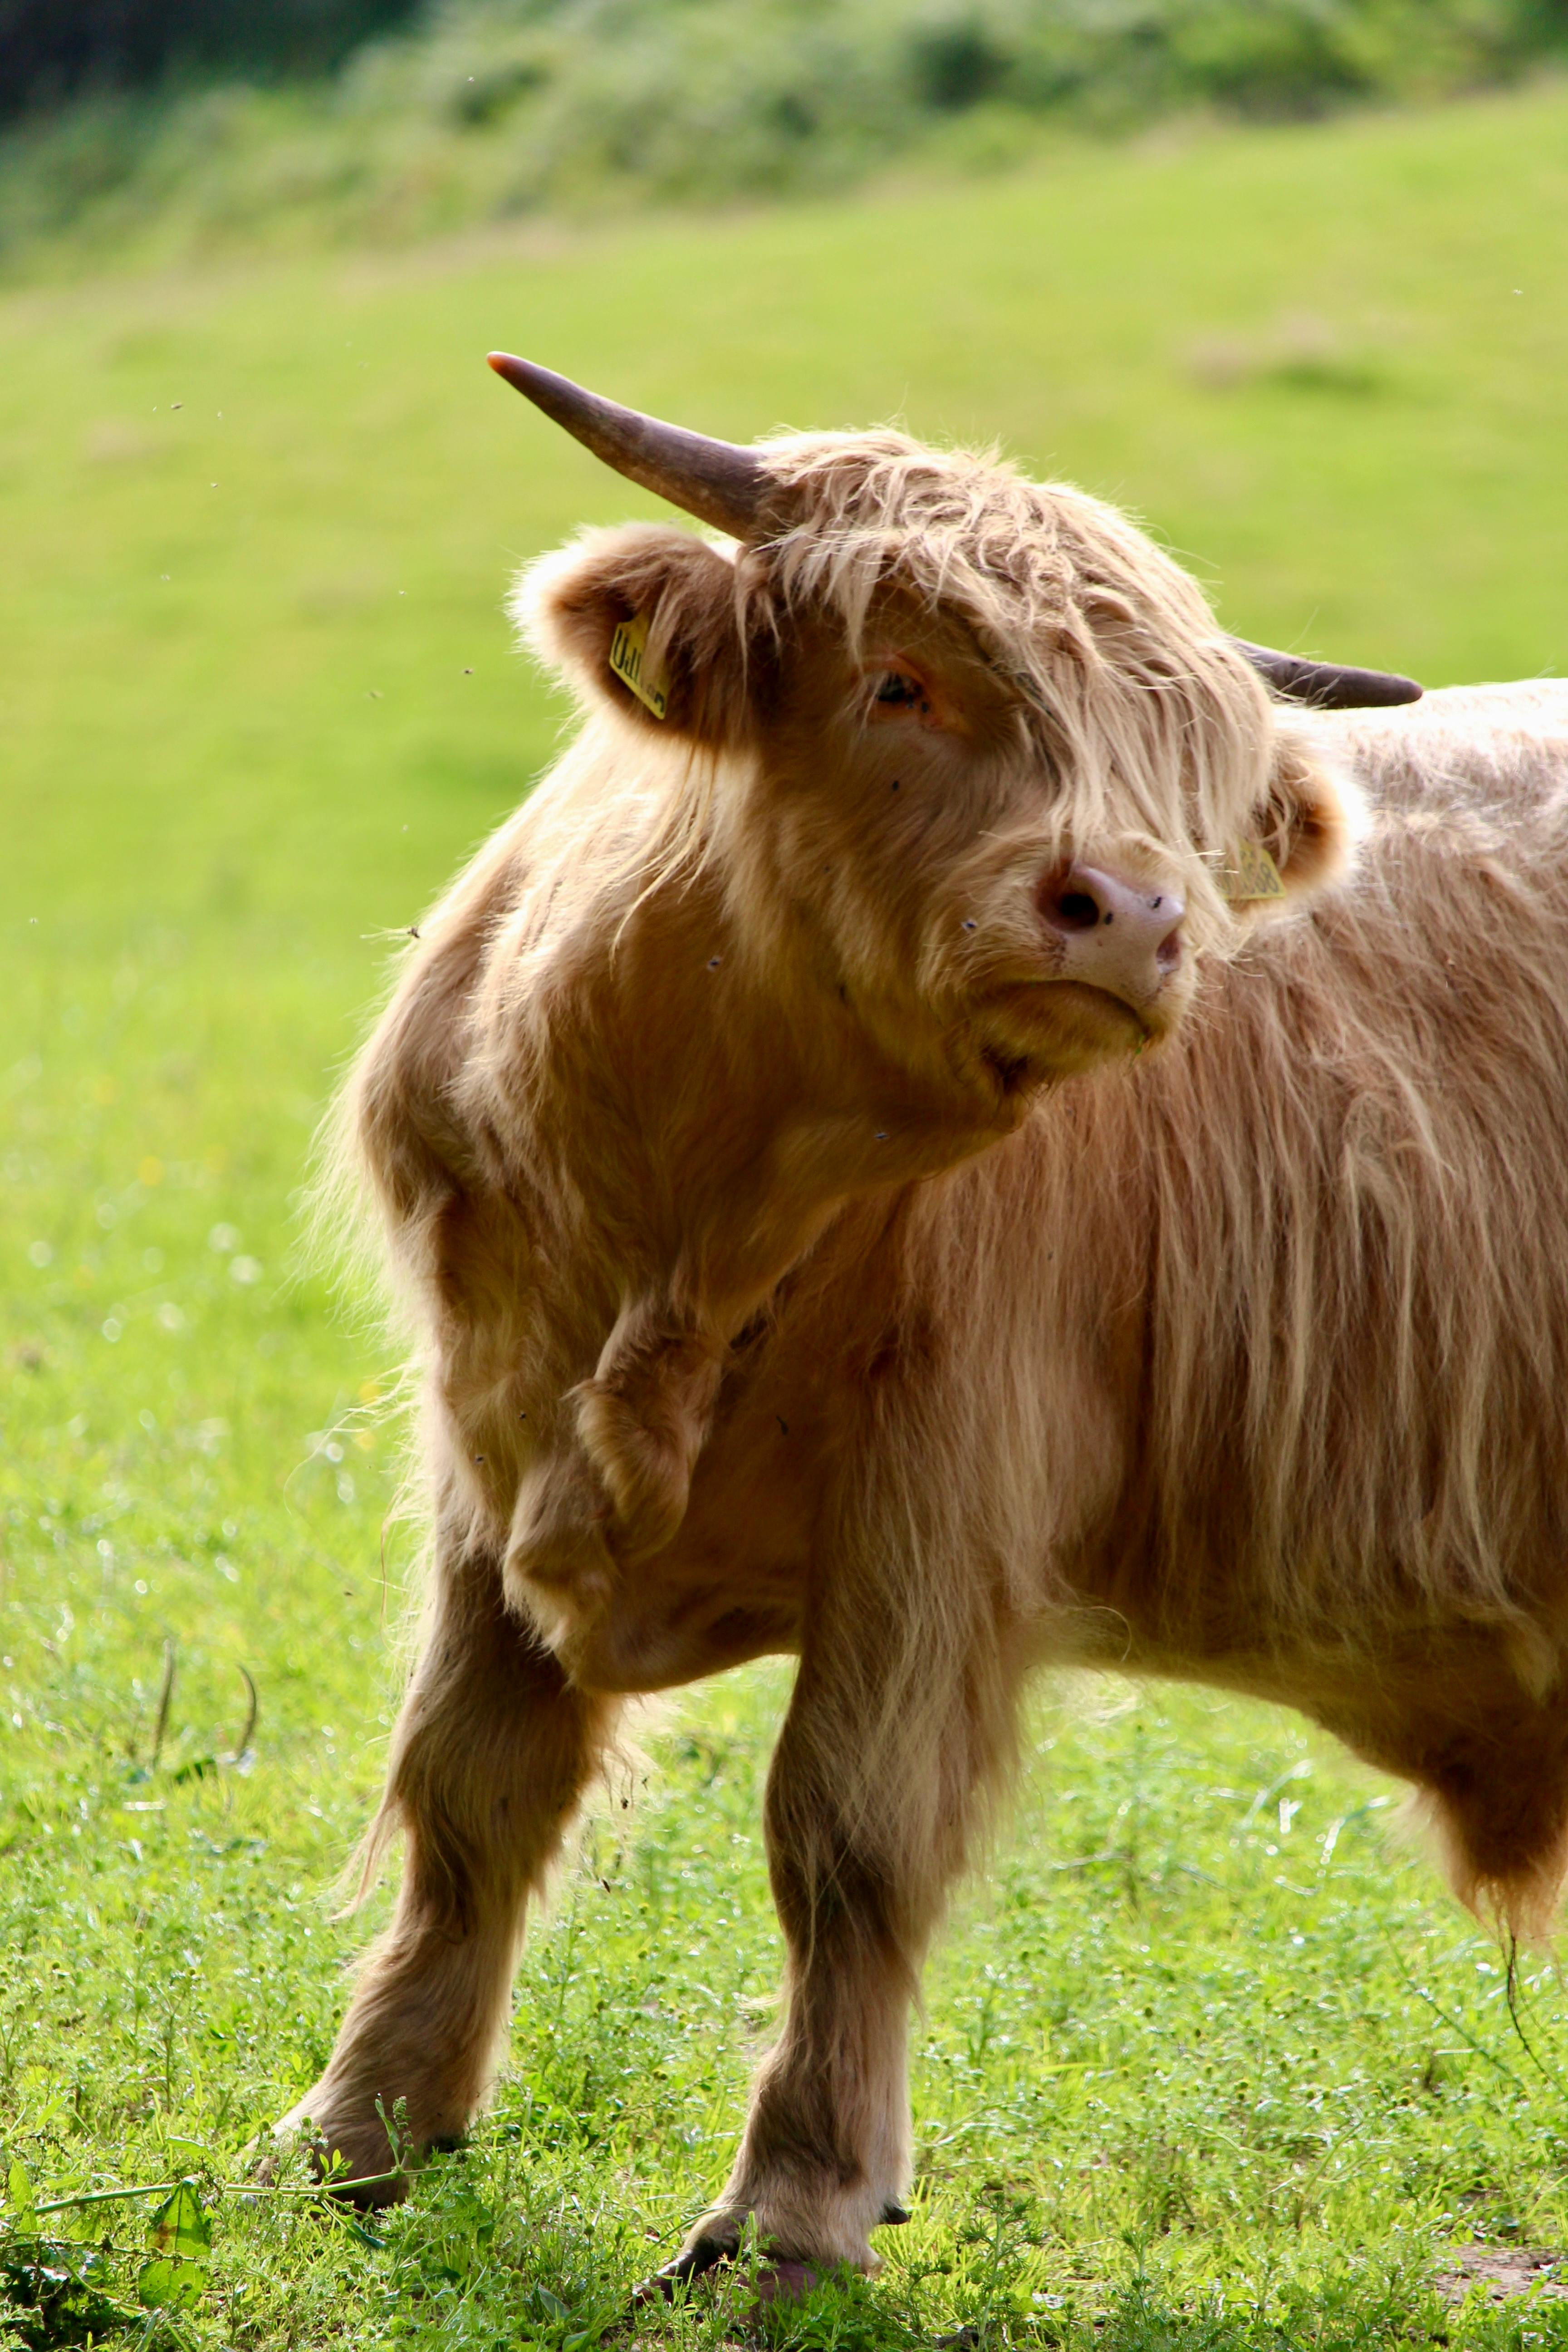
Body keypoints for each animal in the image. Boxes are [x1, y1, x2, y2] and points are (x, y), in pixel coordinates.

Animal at [278, 358, 1568, 2298]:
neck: (675, 1238)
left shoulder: (944, 1494)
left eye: (1191, 781)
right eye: (905, 681)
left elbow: (847, 1836)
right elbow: (468, 1788)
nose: (1134, 913)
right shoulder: (480, 1447)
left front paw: (791, 2209)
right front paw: (359, 2131)